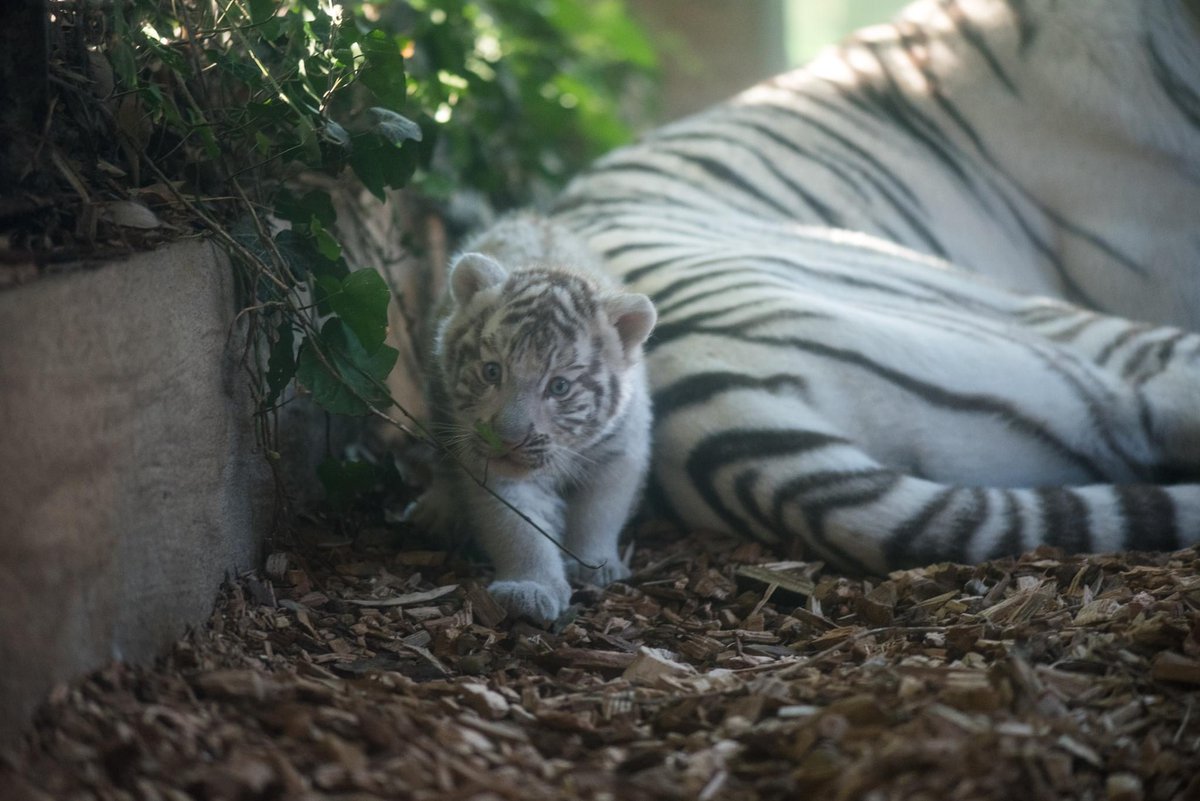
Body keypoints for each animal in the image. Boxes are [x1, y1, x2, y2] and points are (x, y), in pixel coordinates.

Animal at [410, 216, 656, 623]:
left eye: (559, 386)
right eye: (492, 371)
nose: (507, 438)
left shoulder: (621, 451)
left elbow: (600, 511)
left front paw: (596, 565)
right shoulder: (491, 469)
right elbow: (518, 529)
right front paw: (531, 589)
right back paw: (437, 512)